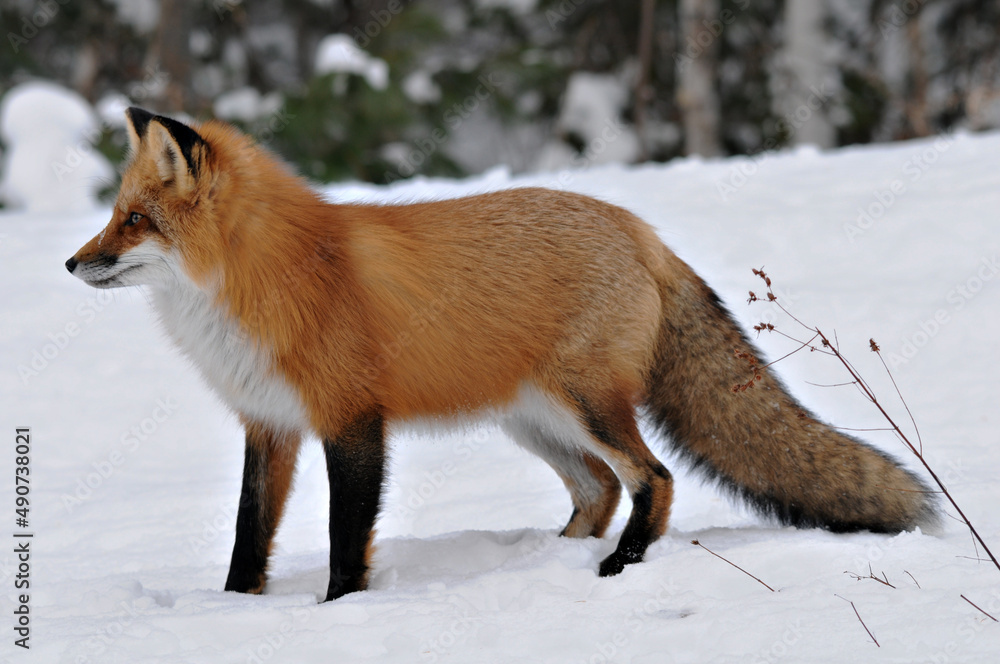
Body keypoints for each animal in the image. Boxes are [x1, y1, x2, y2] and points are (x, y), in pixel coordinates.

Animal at [67, 108, 937, 602]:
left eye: (135, 220)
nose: (72, 265)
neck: (261, 281)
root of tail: (639, 228)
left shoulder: (353, 423)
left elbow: (348, 542)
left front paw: (337, 613)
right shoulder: (270, 424)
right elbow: (250, 540)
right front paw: (236, 609)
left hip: (585, 405)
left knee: (651, 479)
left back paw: (622, 565)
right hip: (534, 421)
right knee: (599, 490)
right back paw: (547, 561)